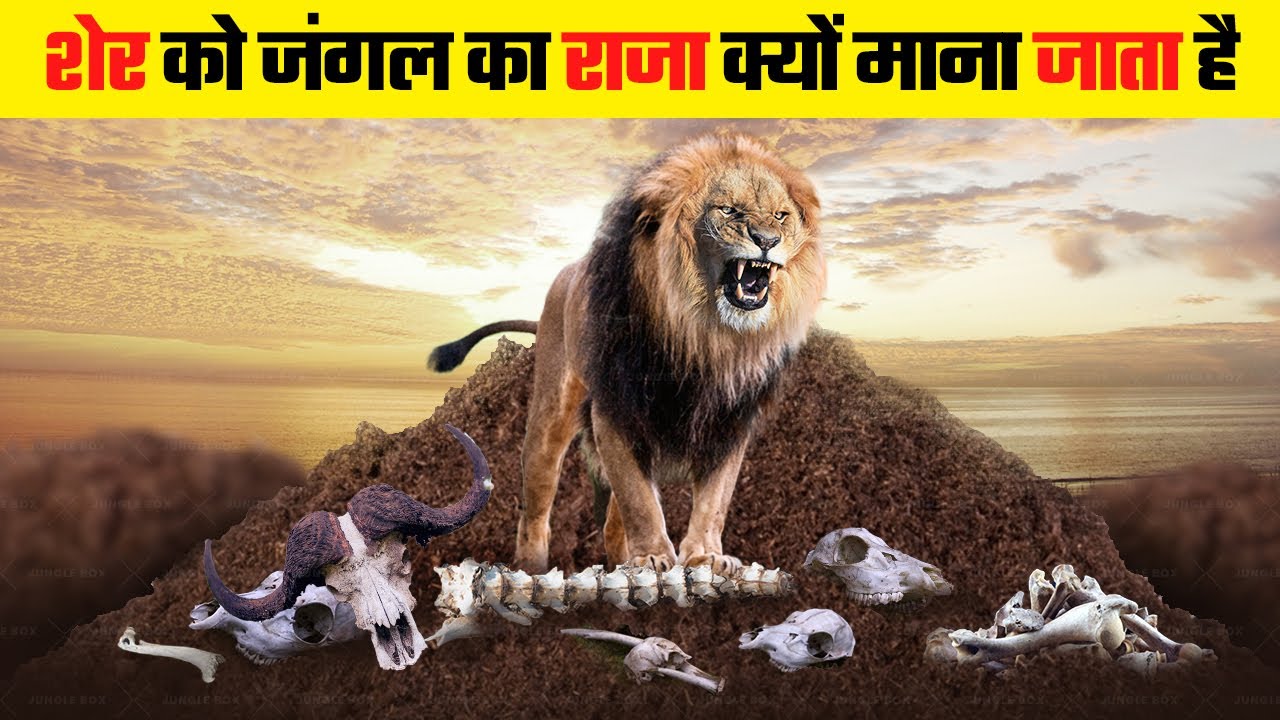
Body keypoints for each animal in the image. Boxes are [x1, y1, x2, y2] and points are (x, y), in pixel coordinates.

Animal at [429, 134, 826, 574]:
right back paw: (533, 567)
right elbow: (639, 499)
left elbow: (714, 500)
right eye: (728, 209)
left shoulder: (728, 421)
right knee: (536, 509)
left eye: (781, 216)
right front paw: (652, 555)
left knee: (611, 525)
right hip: (549, 421)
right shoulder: (616, 410)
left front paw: (705, 555)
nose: (767, 240)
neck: (703, 336)